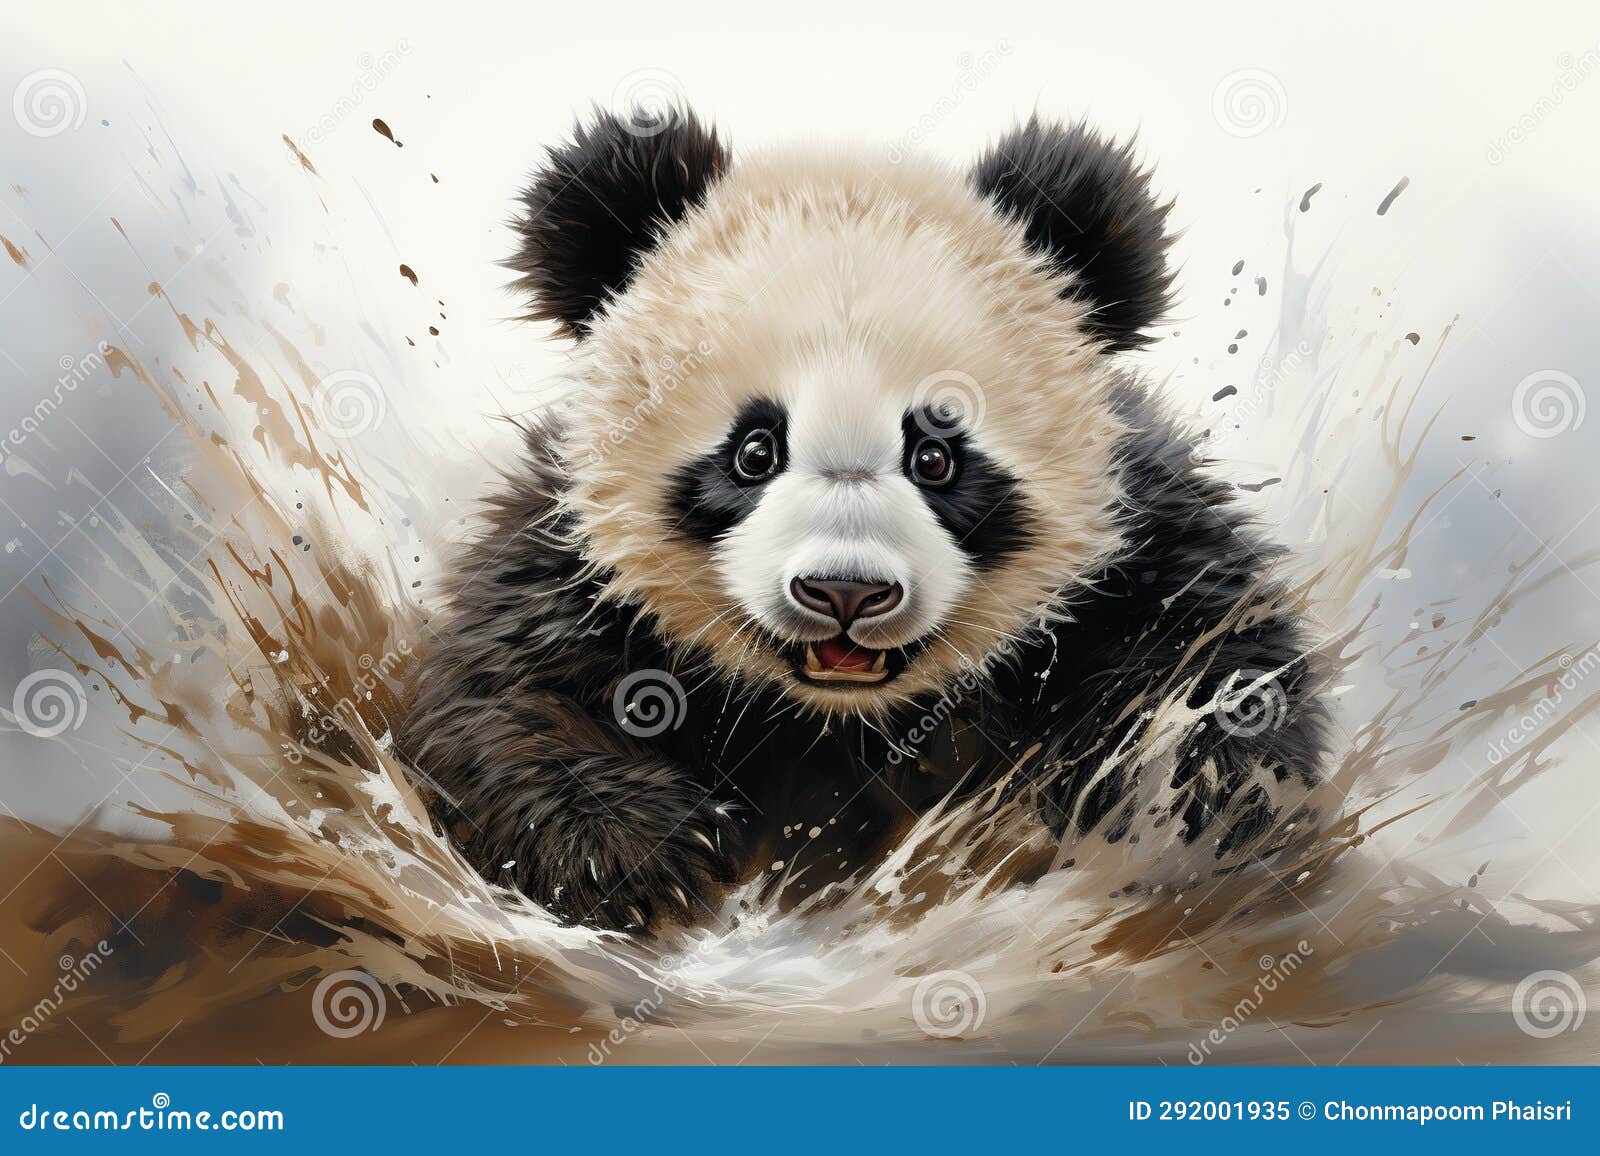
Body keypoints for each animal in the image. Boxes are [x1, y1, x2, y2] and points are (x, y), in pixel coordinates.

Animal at [398, 106, 1326, 932]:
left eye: (936, 455)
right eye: (754, 451)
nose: (844, 592)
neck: (841, 719)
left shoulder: (1136, 537)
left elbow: (1210, 660)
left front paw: (1181, 801)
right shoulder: (570, 557)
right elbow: (506, 697)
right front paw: (629, 855)